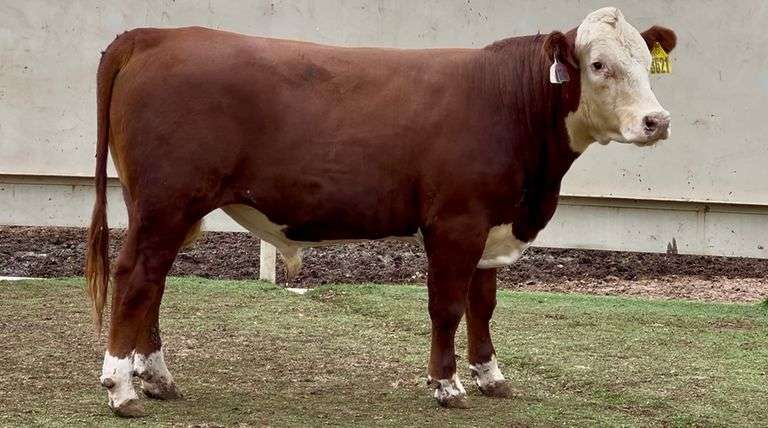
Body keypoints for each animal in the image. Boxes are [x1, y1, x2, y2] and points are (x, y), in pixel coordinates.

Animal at [87, 7, 676, 417]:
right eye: (598, 65)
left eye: (647, 65)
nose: (657, 121)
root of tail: (155, 36)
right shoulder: (456, 223)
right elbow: (447, 307)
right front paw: (446, 385)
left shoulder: (493, 225)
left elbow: (482, 306)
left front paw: (490, 376)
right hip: (165, 203)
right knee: (134, 277)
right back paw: (121, 389)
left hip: (168, 209)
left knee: (154, 282)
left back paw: (157, 379)